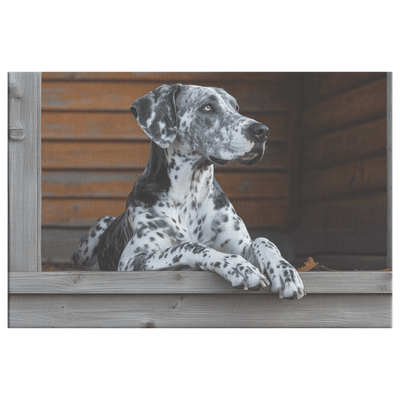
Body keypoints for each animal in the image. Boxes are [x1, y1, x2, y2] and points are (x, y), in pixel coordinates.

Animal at [72, 83, 304, 298]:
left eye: (236, 107)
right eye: (207, 107)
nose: (262, 131)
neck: (191, 193)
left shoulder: (241, 245)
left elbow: (263, 241)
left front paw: (285, 271)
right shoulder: (132, 260)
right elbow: (191, 246)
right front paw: (239, 267)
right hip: (98, 229)